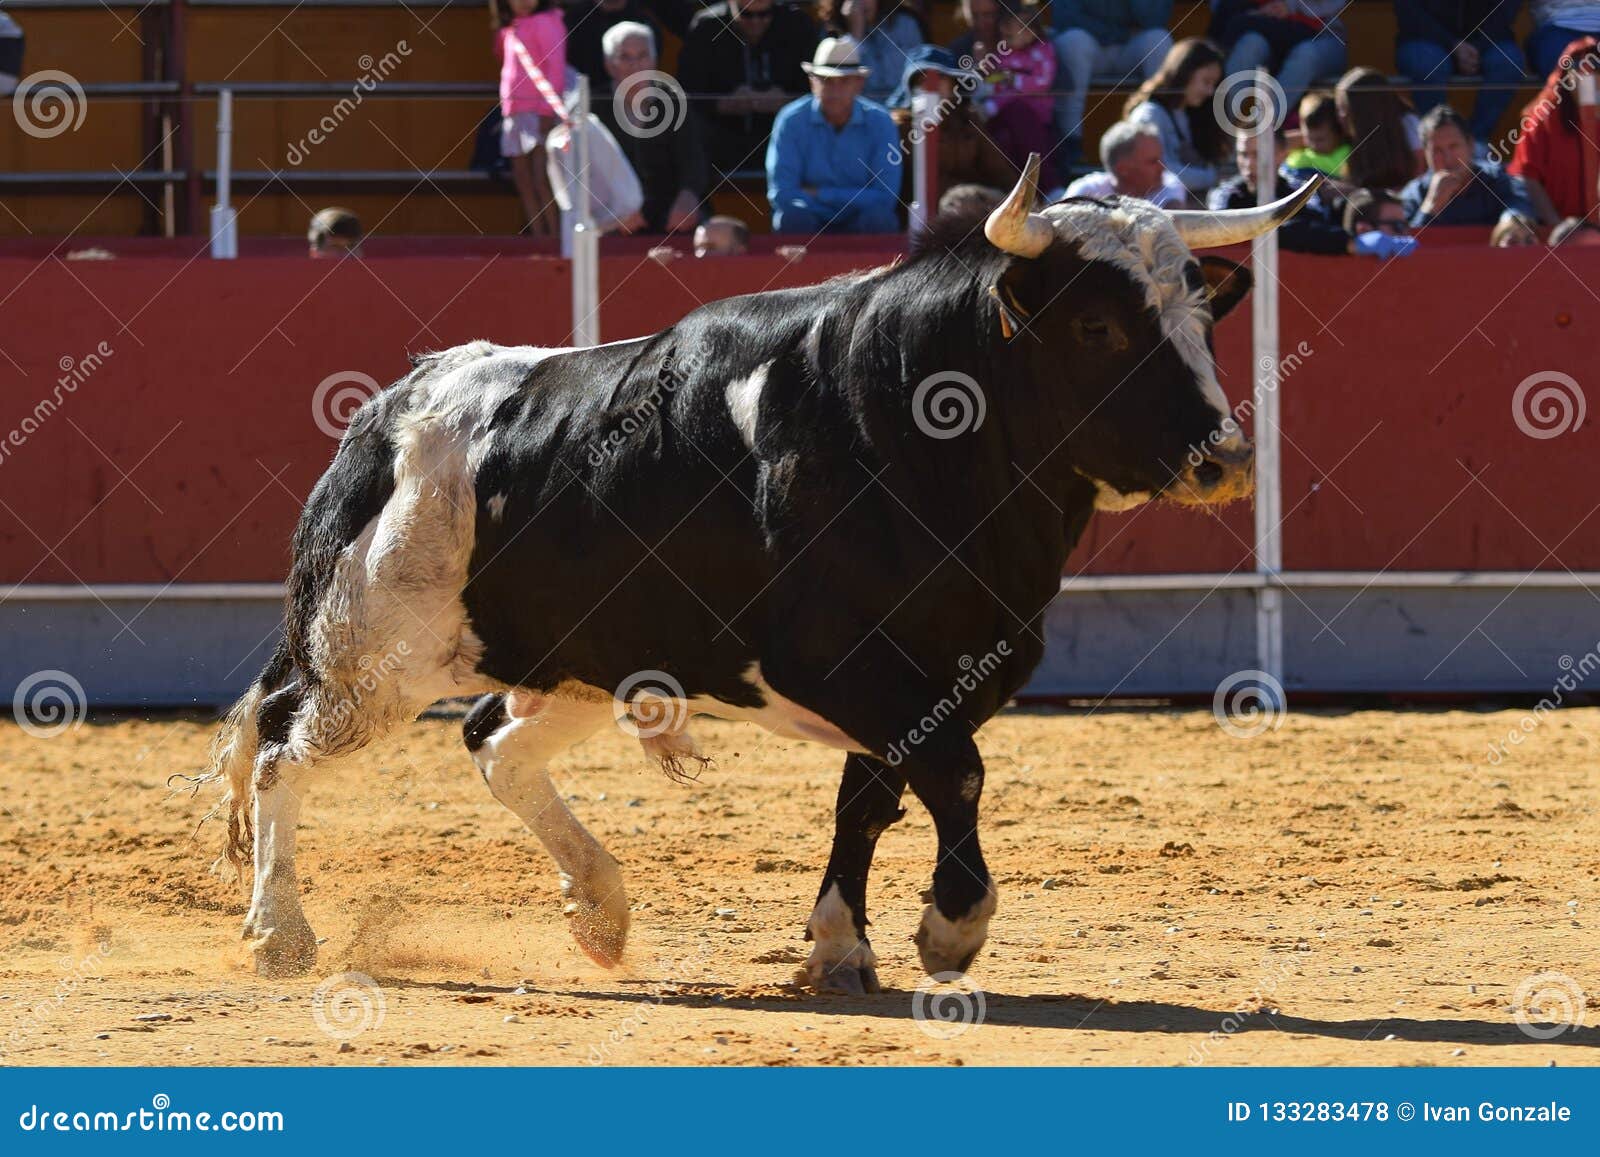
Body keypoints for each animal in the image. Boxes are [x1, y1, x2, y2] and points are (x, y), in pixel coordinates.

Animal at [203, 156, 1320, 988]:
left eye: (1200, 317)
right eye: (1097, 325)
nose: (1224, 460)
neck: (901, 425)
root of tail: (389, 410)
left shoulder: (933, 670)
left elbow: (869, 799)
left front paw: (839, 946)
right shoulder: (843, 665)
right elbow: (952, 772)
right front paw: (950, 927)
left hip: (578, 661)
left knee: (494, 743)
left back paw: (601, 911)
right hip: (373, 664)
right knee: (283, 752)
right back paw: (280, 935)